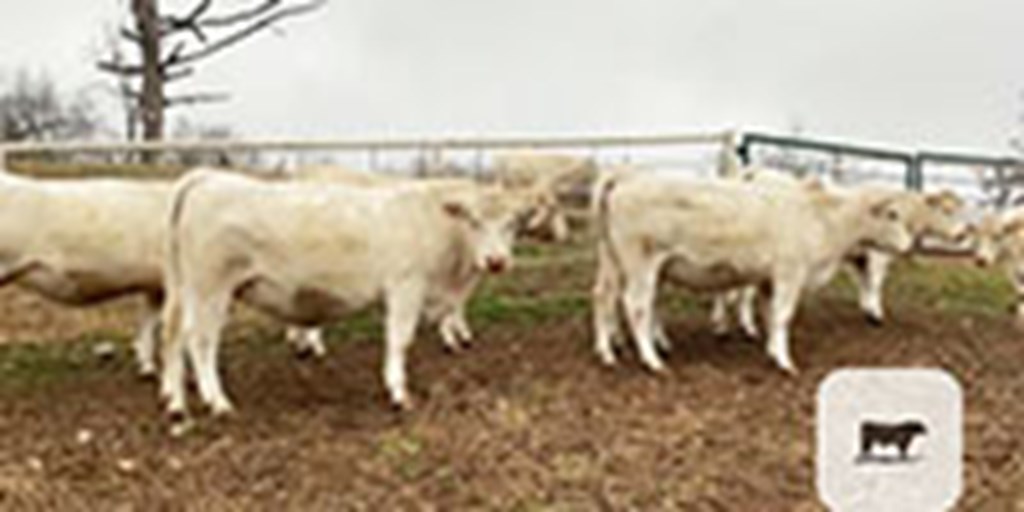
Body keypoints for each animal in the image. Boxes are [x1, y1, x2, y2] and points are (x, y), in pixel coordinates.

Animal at [159, 169, 542, 417]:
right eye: (473, 221)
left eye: (513, 224)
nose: (495, 261)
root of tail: (207, 179)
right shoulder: (406, 285)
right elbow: (400, 340)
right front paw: (398, 393)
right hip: (210, 288)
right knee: (201, 340)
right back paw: (217, 402)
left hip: (185, 289)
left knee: (174, 335)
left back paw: (176, 403)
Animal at [591, 169, 916, 374]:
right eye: (892, 214)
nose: (909, 243)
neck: (821, 217)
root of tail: (625, 177)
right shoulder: (789, 274)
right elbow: (783, 316)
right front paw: (785, 362)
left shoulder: (768, 280)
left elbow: (771, 315)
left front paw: (772, 352)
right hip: (640, 263)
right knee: (637, 305)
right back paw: (651, 360)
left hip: (614, 261)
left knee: (604, 297)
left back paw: (608, 352)